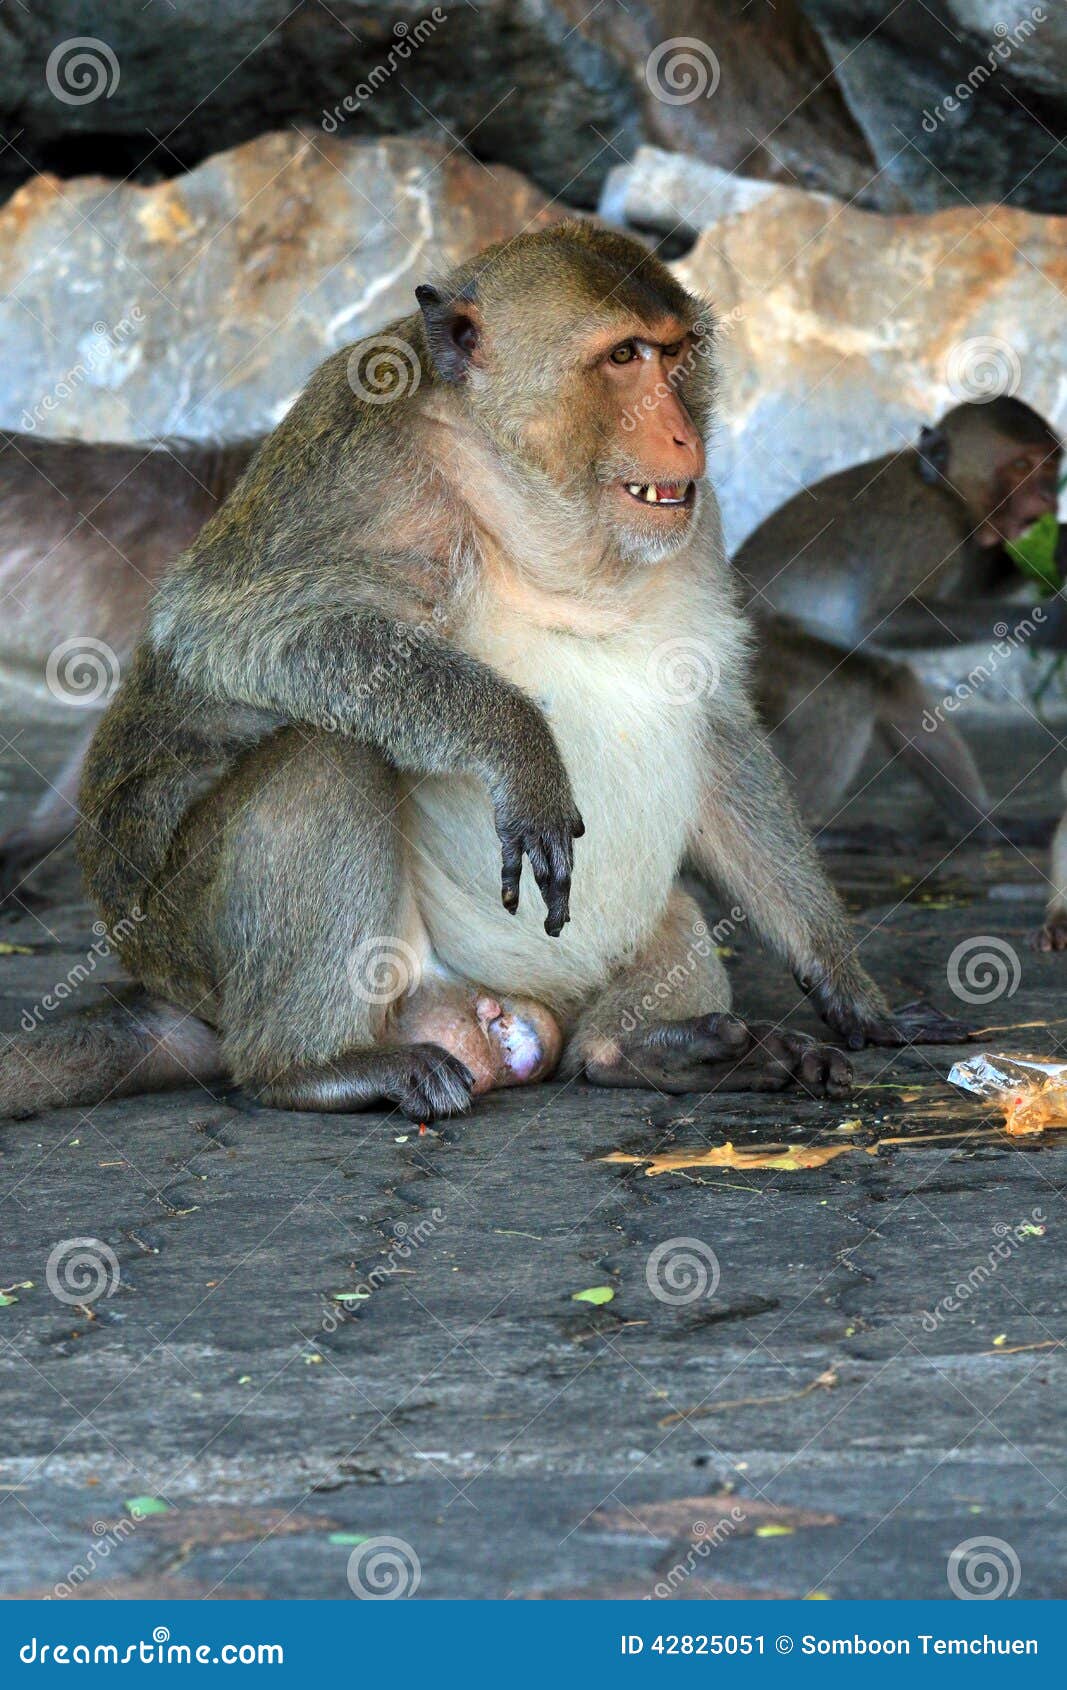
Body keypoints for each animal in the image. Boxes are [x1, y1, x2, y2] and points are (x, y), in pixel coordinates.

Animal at [734, 399, 1064, 843]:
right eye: (1022, 465)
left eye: (1051, 464)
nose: (1048, 494)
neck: (945, 491)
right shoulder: (930, 529)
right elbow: (883, 619)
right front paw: (1053, 622)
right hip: (758, 660)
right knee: (848, 686)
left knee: (891, 680)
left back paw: (984, 825)